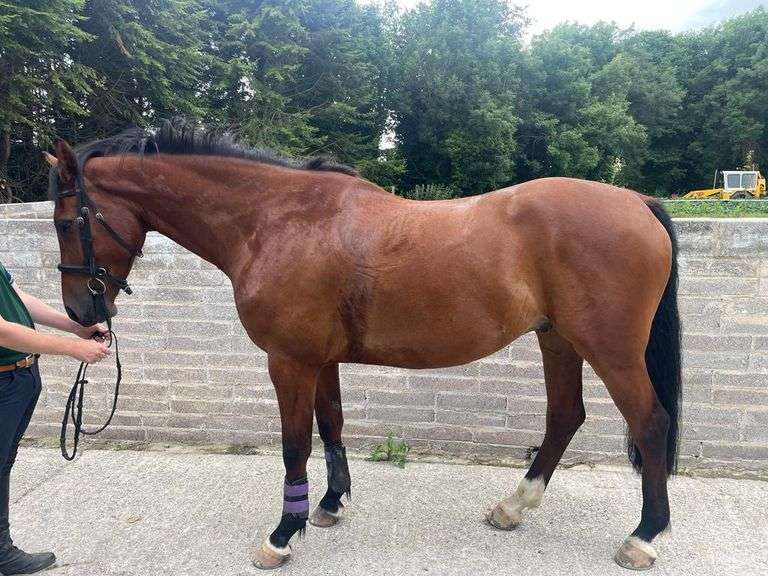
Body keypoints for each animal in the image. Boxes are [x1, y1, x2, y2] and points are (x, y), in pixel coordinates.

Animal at [47, 120, 681, 571]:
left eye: (65, 219)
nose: (81, 312)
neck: (275, 222)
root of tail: (636, 201)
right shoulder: (319, 359)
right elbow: (331, 423)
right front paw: (328, 505)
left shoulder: (290, 361)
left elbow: (294, 444)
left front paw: (283, 534)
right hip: (558, 340)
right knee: (564, 417)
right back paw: (512, 508)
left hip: (609, 348)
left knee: (650, 422)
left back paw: (643, 537)